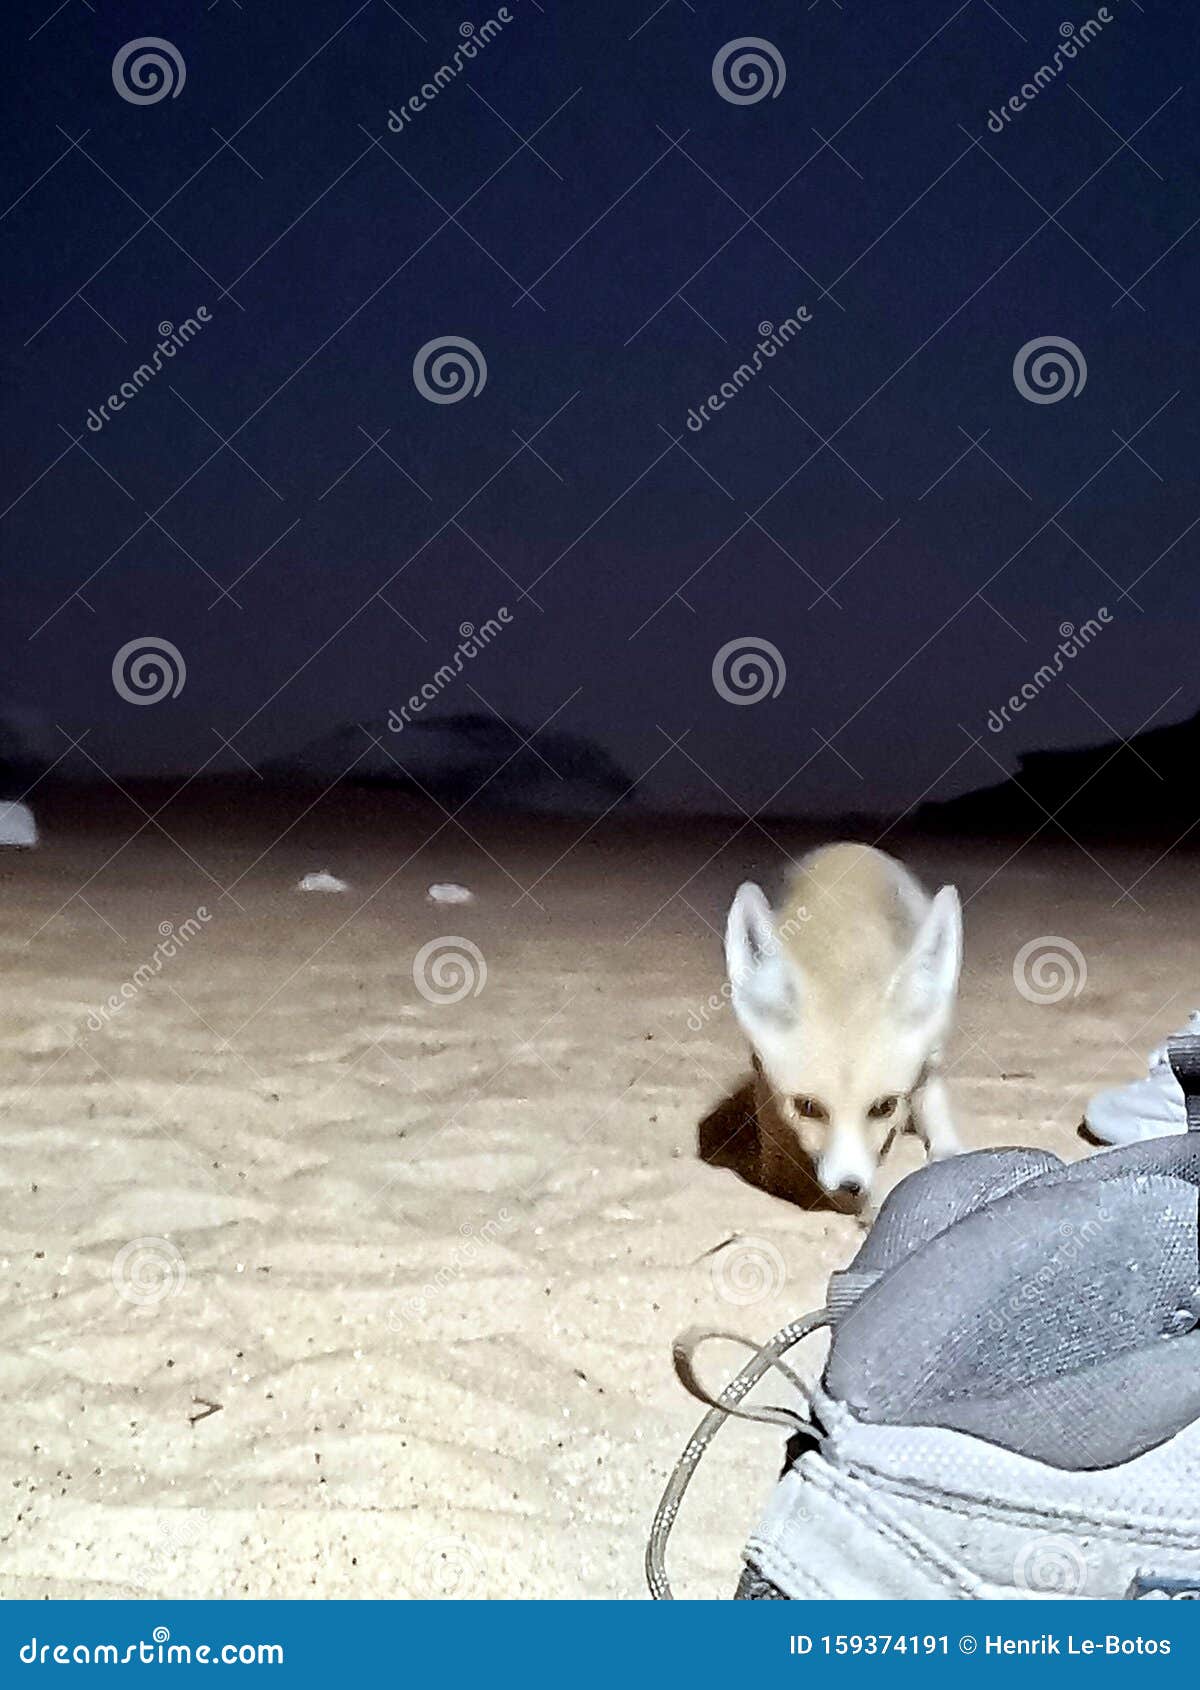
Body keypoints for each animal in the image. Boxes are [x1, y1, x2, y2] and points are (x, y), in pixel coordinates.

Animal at [723, 842, 963, 1207]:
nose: (849, 1186)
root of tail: (849, 847)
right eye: (808, 1107)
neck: (844, 955)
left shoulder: (928, 1053)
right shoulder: (760, 1063)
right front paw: (780, 1182)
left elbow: (930, 1097)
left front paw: (947, 1152)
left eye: (884, 1107)